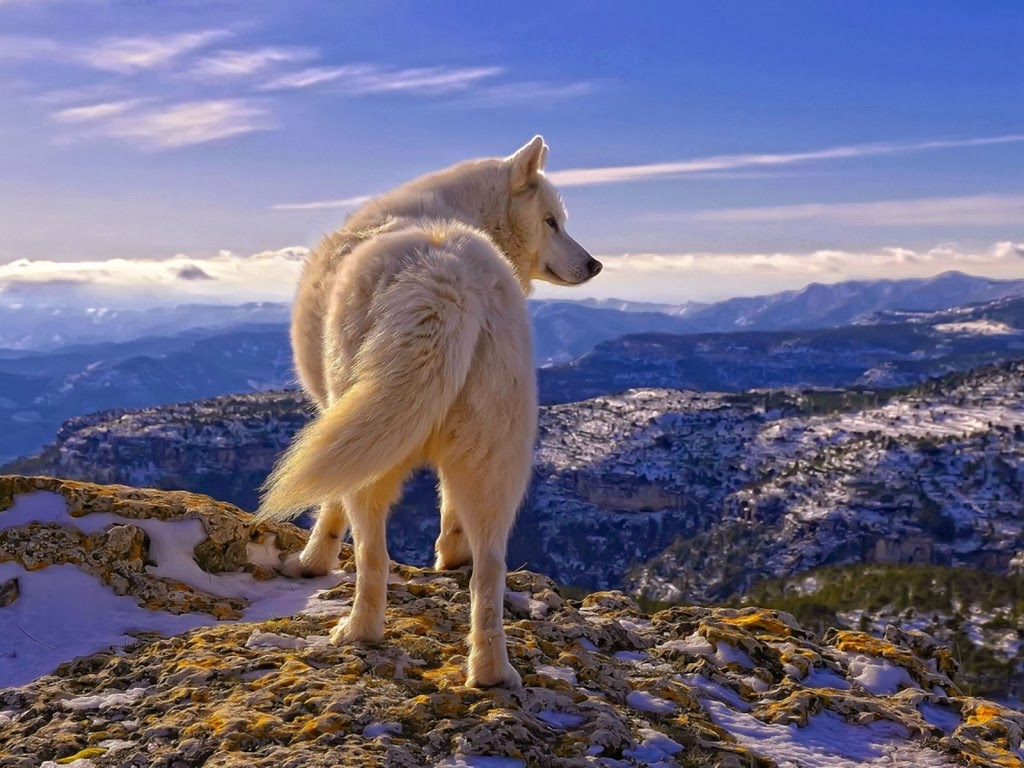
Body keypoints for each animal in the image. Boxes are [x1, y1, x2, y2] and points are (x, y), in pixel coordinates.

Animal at [255, 136, 601, 687]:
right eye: (552, 222)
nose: (595, 265)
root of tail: (447, 282)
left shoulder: (337, 415)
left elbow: (328, 507)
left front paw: (311, 562)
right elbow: (448, 508)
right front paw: (450, 555)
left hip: (374, 449)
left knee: (373, 554)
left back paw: (358, 632)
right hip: (494, 457)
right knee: (490, 567)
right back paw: (490, 671)